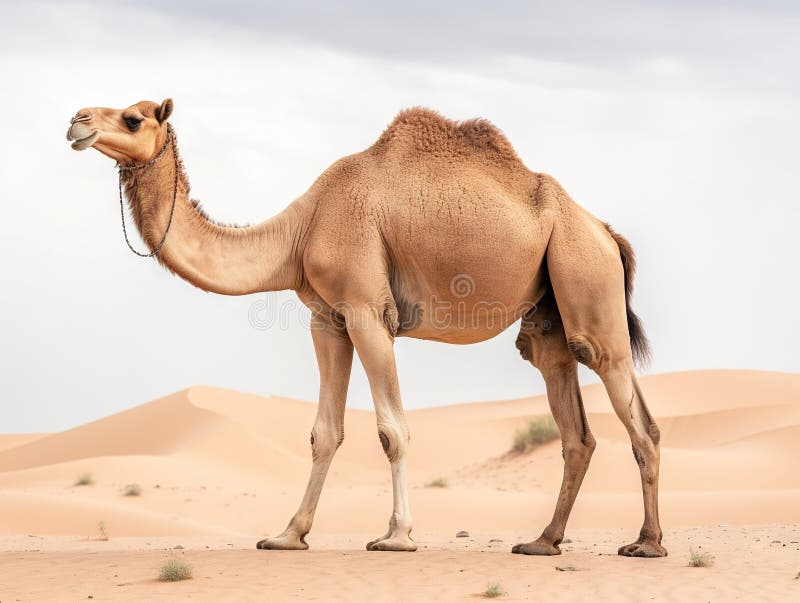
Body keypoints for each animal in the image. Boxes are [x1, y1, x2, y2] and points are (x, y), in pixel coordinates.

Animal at [66, 98, 666, 558]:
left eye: (133, 118)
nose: (76, 120)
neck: (301, 230)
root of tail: (606, 231)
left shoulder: (367, 312)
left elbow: (392, 430)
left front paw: (397, 536)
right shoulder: (327, 320)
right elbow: (324, 432)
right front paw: (287, 535)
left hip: (586, 276)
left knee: (632, 409)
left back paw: (646, 544)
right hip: (550, 309)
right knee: (571, 416)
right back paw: (543, 541)